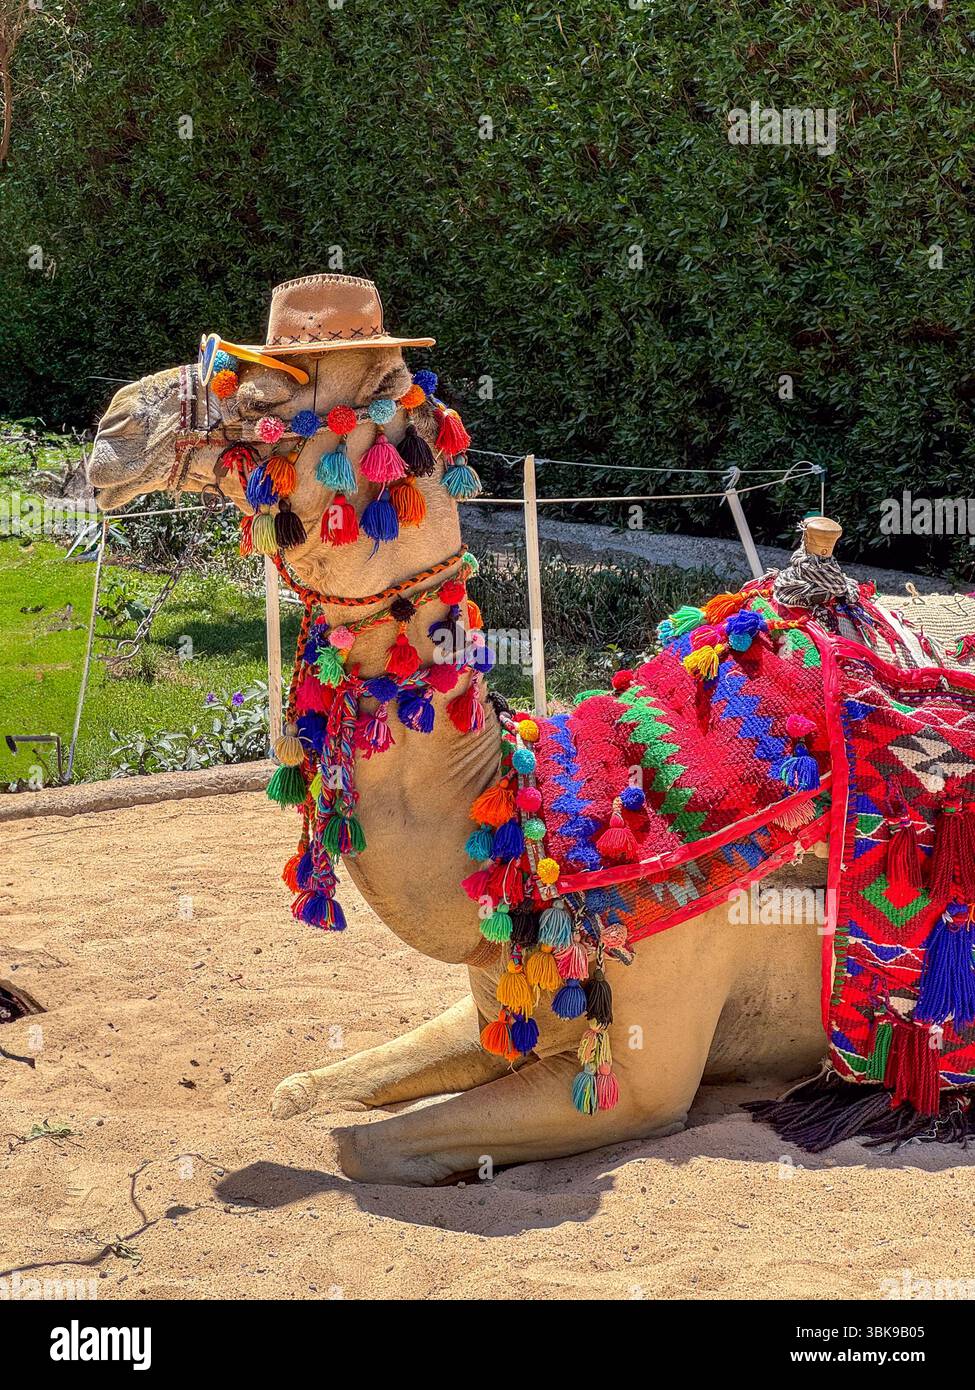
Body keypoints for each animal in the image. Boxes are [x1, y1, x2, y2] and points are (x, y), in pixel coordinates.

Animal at [87, 342, 973, 1186]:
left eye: (271, 393)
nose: (111, 425)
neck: (531, 836)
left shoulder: (642, 1079)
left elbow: (362, 1149)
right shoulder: (497, 1008)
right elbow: (294, 1091)